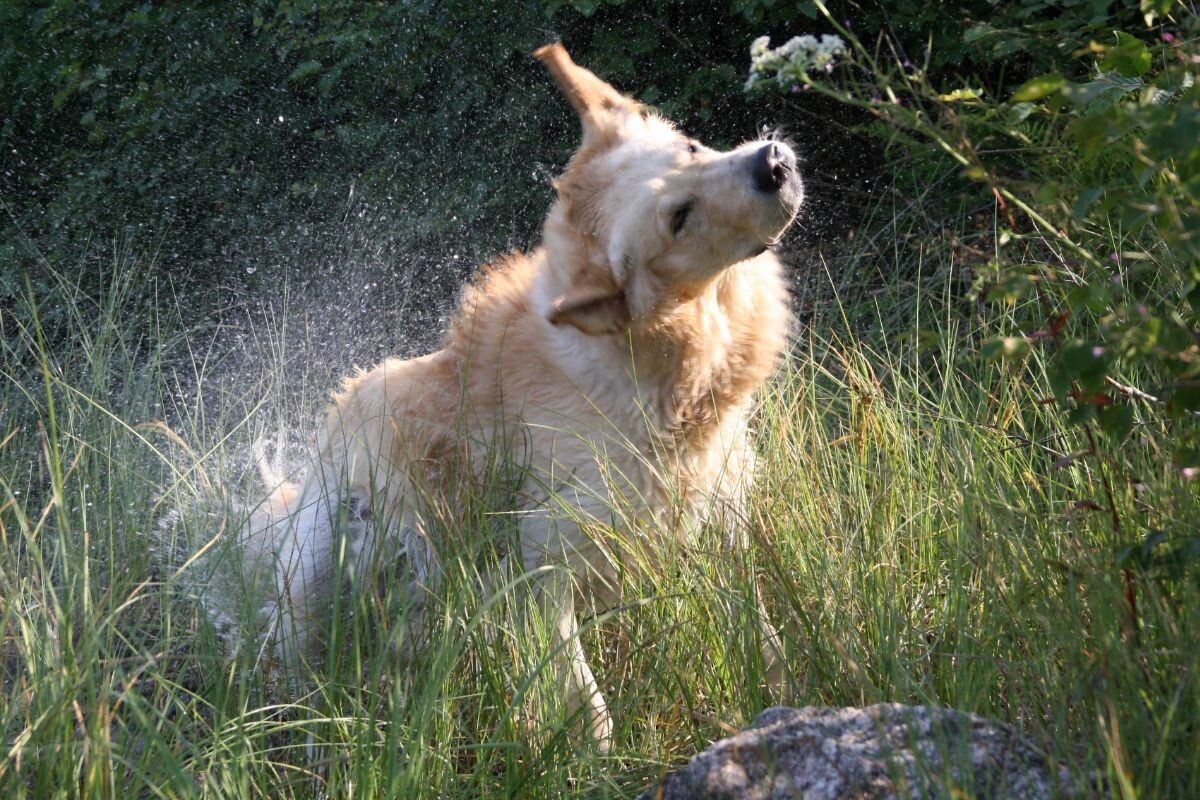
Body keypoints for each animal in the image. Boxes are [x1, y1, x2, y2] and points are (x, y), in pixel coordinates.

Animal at [225, 42, 806, 753]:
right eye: (679, 218)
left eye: (692, 147)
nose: (773, 165)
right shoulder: (544, 566)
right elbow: (587, 704)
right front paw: (597, 763)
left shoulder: (720, 523)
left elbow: (763, 635)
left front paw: (783, 694)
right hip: (324, 580)